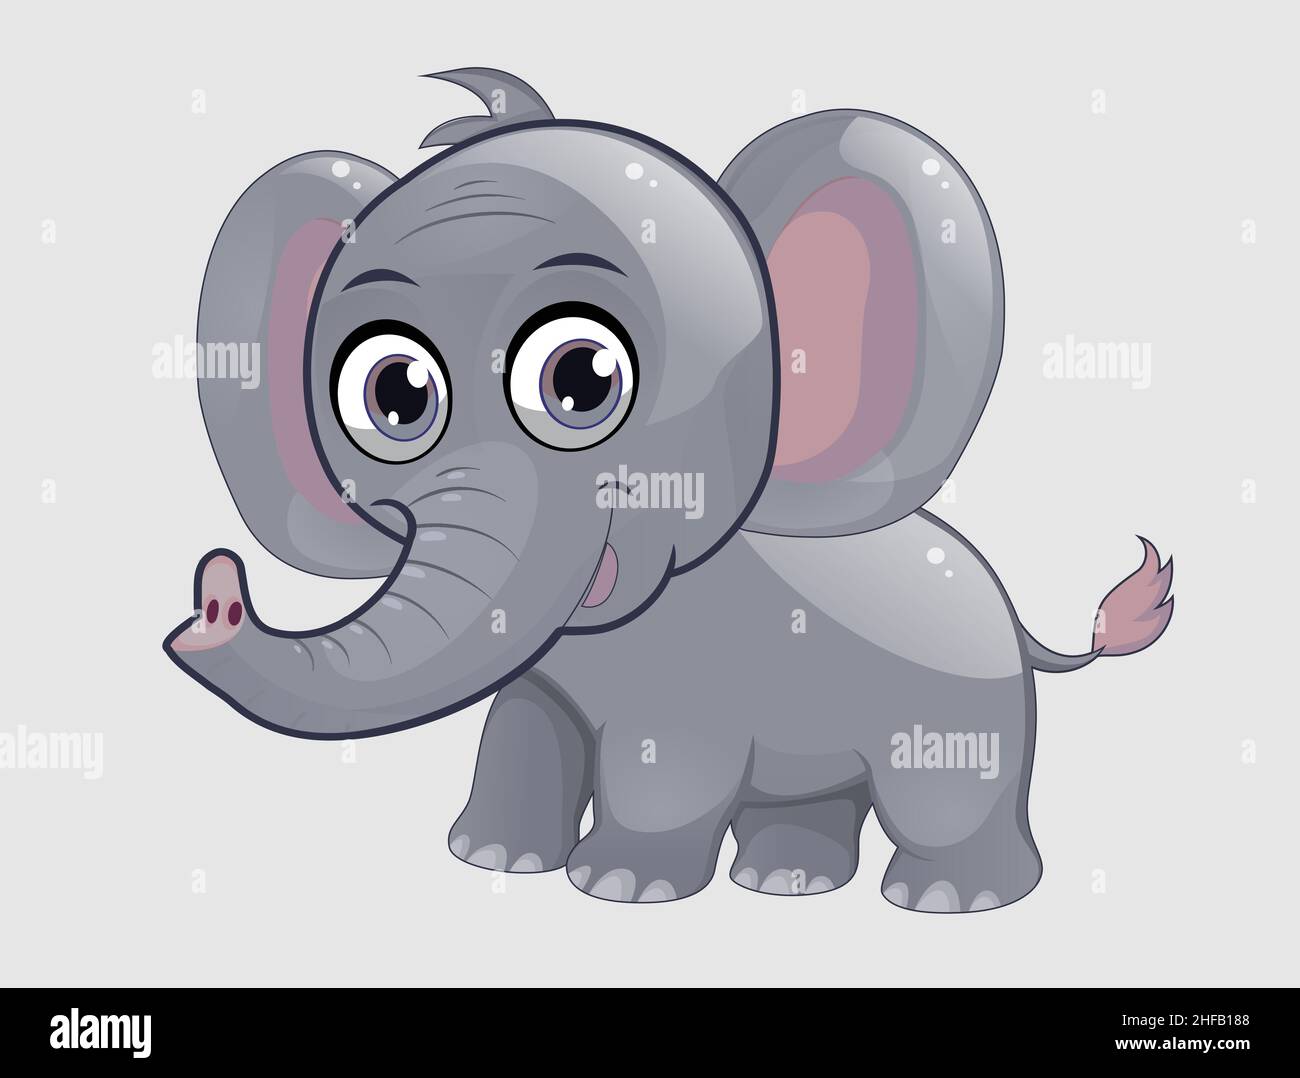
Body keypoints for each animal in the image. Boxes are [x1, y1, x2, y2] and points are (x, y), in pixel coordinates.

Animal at [164, 68, 1174, 910]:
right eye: (397, 395)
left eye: (581, 380)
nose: (213, 599)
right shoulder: (549, 679)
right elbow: (523, 726)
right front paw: (493, 860)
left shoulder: (698, 680)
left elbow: (670, 763)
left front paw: (619, 886)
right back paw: (788, 882)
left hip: (966, 709)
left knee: (944, 799)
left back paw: (947, 900)